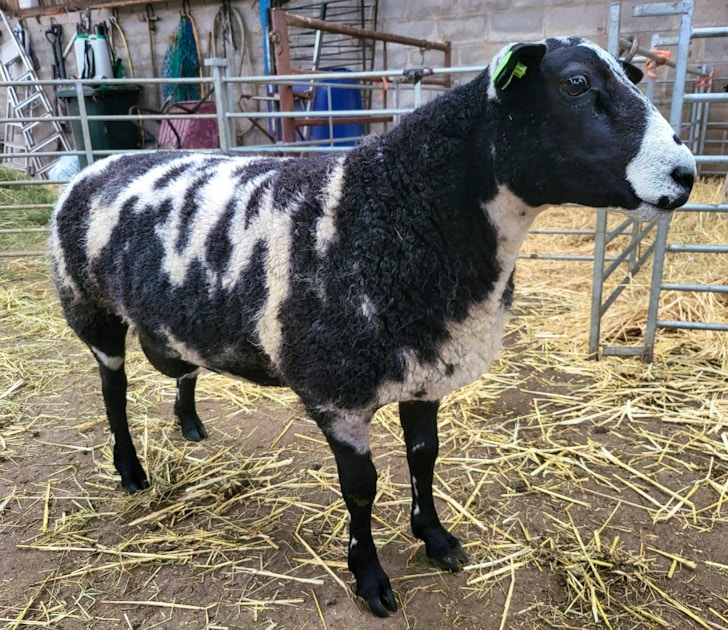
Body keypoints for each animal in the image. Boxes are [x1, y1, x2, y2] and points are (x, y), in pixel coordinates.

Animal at [48, 37, 695, 617]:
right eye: (576, 84)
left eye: (632, 76)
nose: (685, 175)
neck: (401, 210)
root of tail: (99, 165)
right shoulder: (337, 391)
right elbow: (361, 488)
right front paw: (369, 576)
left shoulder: (428, 369)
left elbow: (424, 458)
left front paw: (436, 539)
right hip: (89, 307)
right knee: (113, 392)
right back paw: (131, 471)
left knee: (181, 370)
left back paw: (189, 426)